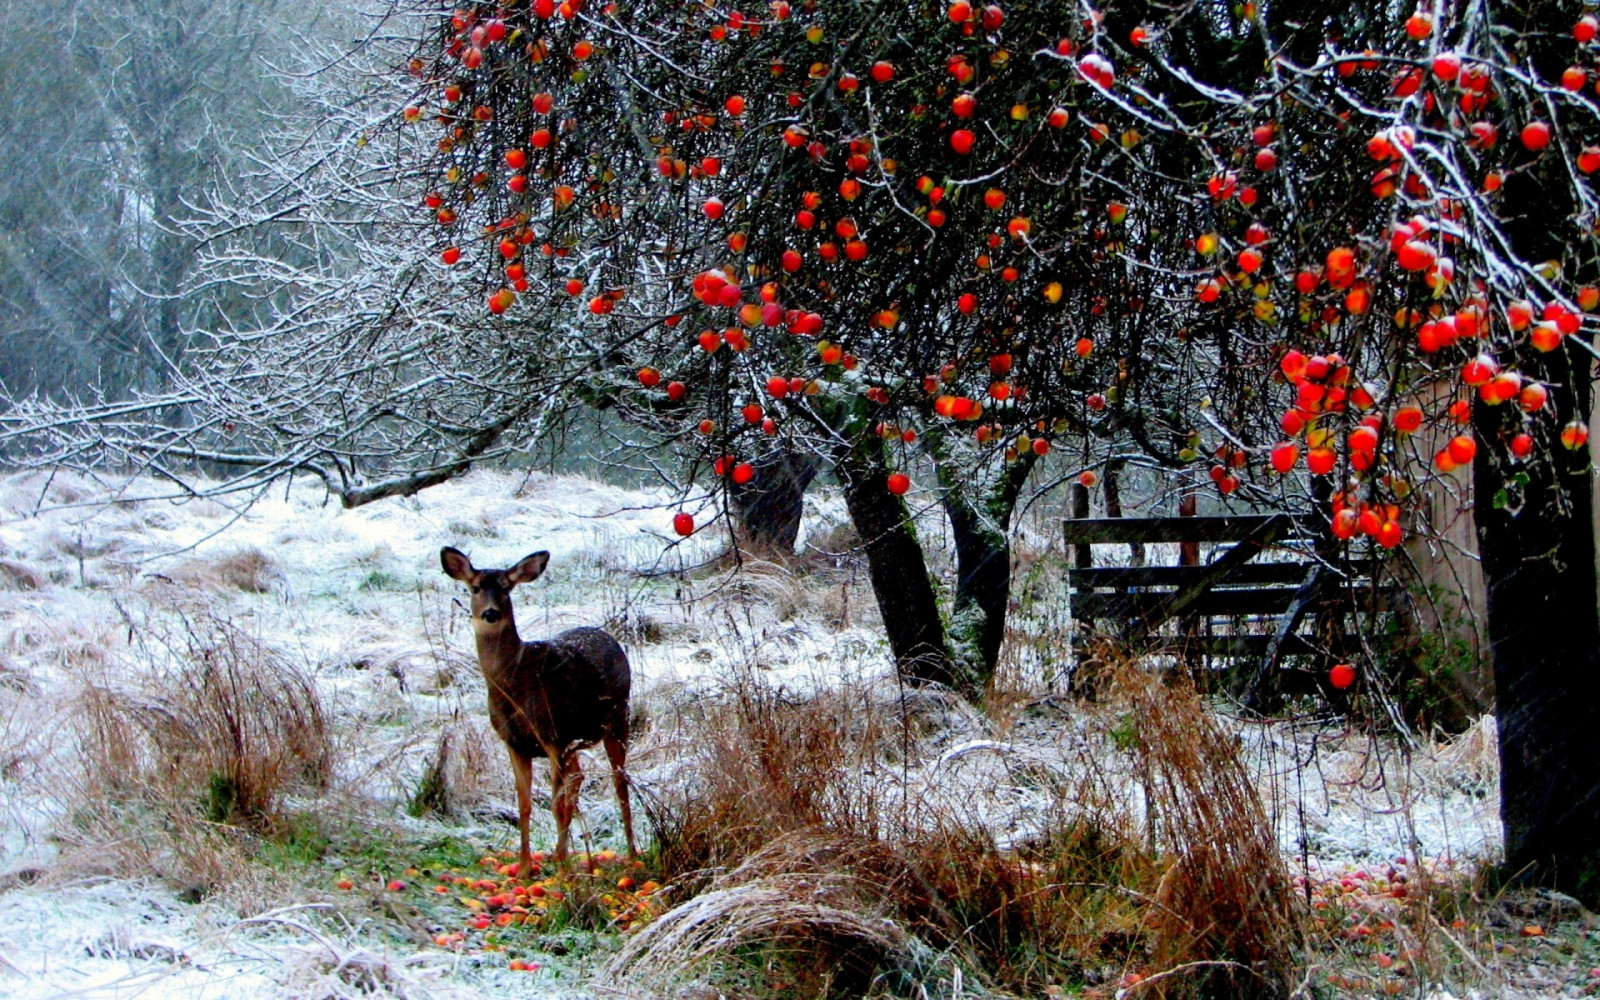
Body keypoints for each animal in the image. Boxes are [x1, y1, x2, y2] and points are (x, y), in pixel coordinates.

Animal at [440, 547, 637, 876]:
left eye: (506, 588)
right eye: (475, 587)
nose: (490, 613)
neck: (515, 684)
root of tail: (608, 637)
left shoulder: (550, 733)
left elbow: (556, 804)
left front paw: (563, 872)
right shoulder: (515, 743)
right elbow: (525, 804)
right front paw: (524, 867)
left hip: (617, 718)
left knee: (619, 783)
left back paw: (632, 856)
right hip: (575, 739)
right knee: (579, 776)